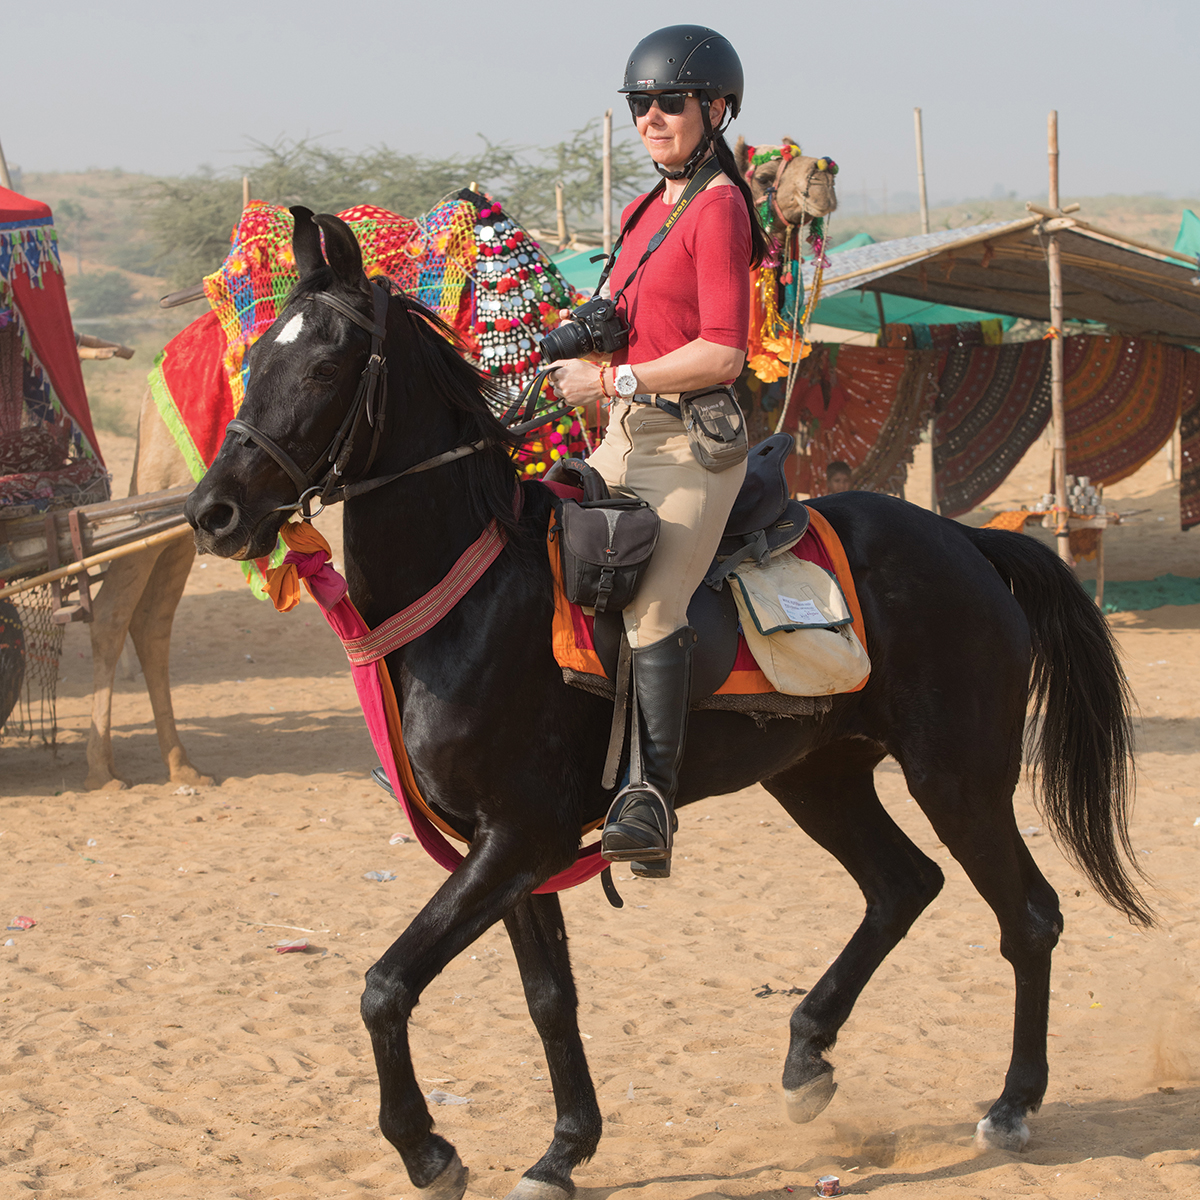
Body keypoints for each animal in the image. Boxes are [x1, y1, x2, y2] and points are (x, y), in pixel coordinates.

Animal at [184, 208, 1149, 1200]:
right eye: (256, 361)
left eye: (325, 367)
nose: (212, 513)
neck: (472, 596)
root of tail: (966, 542)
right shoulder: (511, 850)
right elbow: (548, 998)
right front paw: (565, 1149)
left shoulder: (516, 838)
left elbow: (386, 986)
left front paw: (427, 1149)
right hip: (819, 776)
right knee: (902, 886)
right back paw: (807, 1060)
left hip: (958, 776)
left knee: (1027, 917)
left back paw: (1013, 1105)